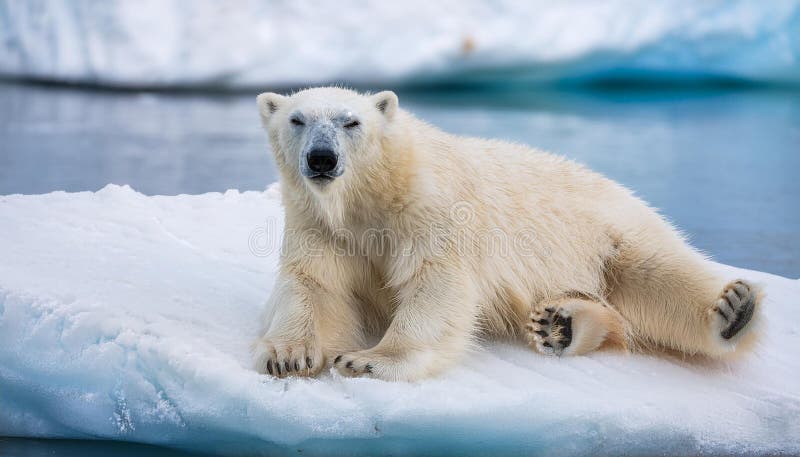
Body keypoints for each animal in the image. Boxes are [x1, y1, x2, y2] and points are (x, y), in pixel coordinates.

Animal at [252, 87, 762, 381]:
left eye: (350, 121)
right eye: (297, 119)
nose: (322, 158)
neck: (372, 194)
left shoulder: (431, 211)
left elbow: (435, 283)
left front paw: (369, 359)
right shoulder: (320, 225)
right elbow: (316, 284)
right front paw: (289, 355)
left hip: (613, 235)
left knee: (659, 277)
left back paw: (733, 311)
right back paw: (561, 324)